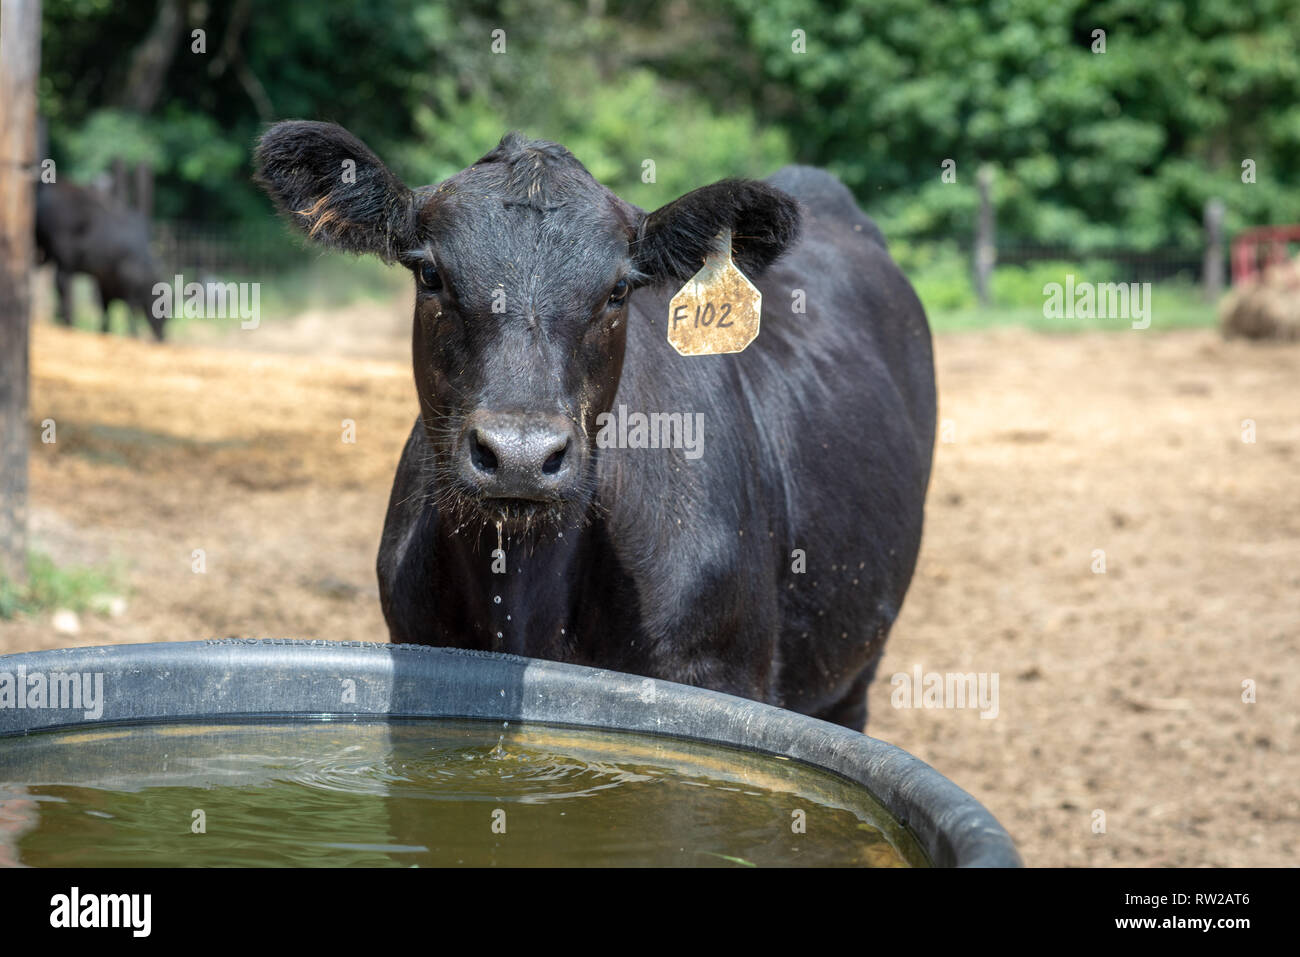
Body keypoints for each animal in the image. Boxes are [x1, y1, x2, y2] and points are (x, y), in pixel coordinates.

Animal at [35, 181, 166, 340]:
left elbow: (107, 309)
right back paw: (67, 321)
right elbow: (127, 309)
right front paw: (131, 334)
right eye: (163, 307)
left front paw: (105, 332)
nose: (161, 337)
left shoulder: (103, 283)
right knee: (63, 287)